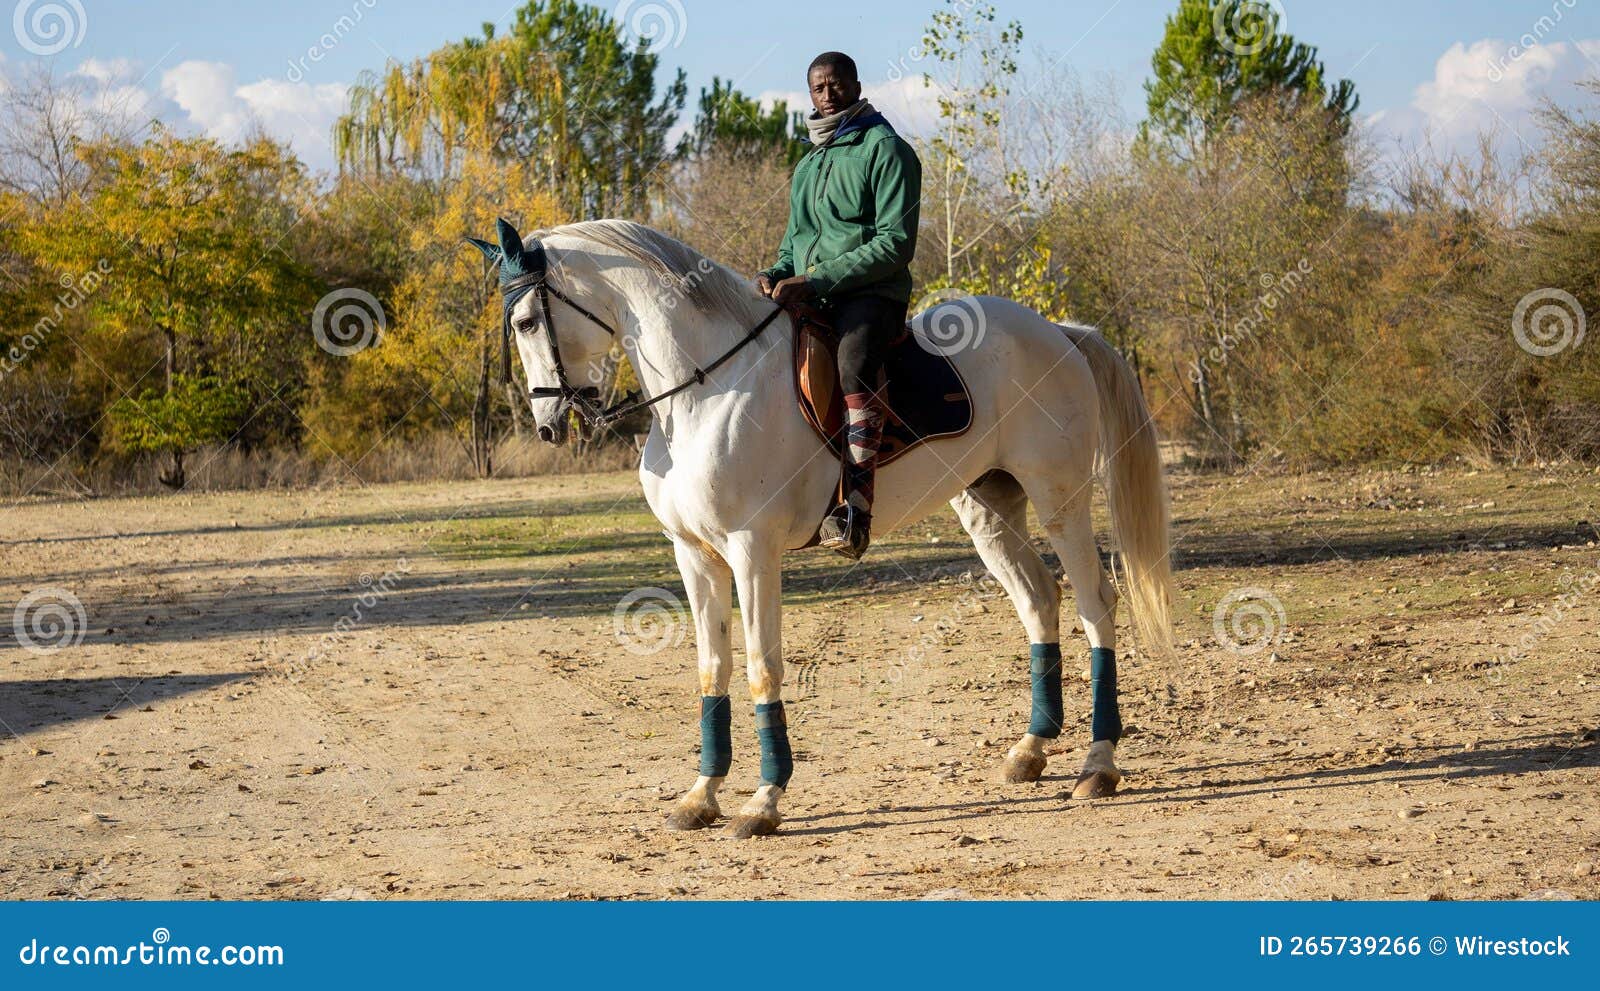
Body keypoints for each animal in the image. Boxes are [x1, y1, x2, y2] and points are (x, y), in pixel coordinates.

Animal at [467, 217, 1173, 838]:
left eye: (526, 322)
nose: (549, 426)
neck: (701, 391)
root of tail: (1058, 332)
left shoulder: (752, 552)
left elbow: (761, 668)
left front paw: (763, 803)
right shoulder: (693, 555)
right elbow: (712, 667)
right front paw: (701, 797)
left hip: (1060, 502)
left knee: (1094, 604)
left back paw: (1098, 765)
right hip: (988, 510)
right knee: (1038, 600)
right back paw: (1030, 751)